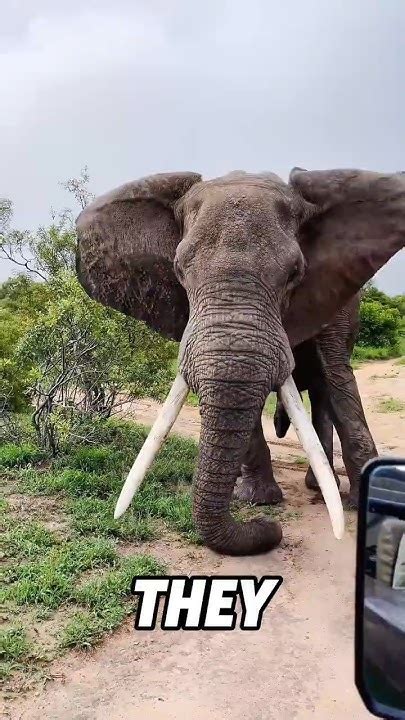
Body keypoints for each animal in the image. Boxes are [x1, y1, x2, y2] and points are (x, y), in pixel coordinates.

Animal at [75, 167, 405, 556]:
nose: (271, 529)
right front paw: (258, 502)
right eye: (178, 270)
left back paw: (319, 486)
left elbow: (336, 378)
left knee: (324, 390)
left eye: (296, 272)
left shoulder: (335, 292)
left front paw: (363, 503)